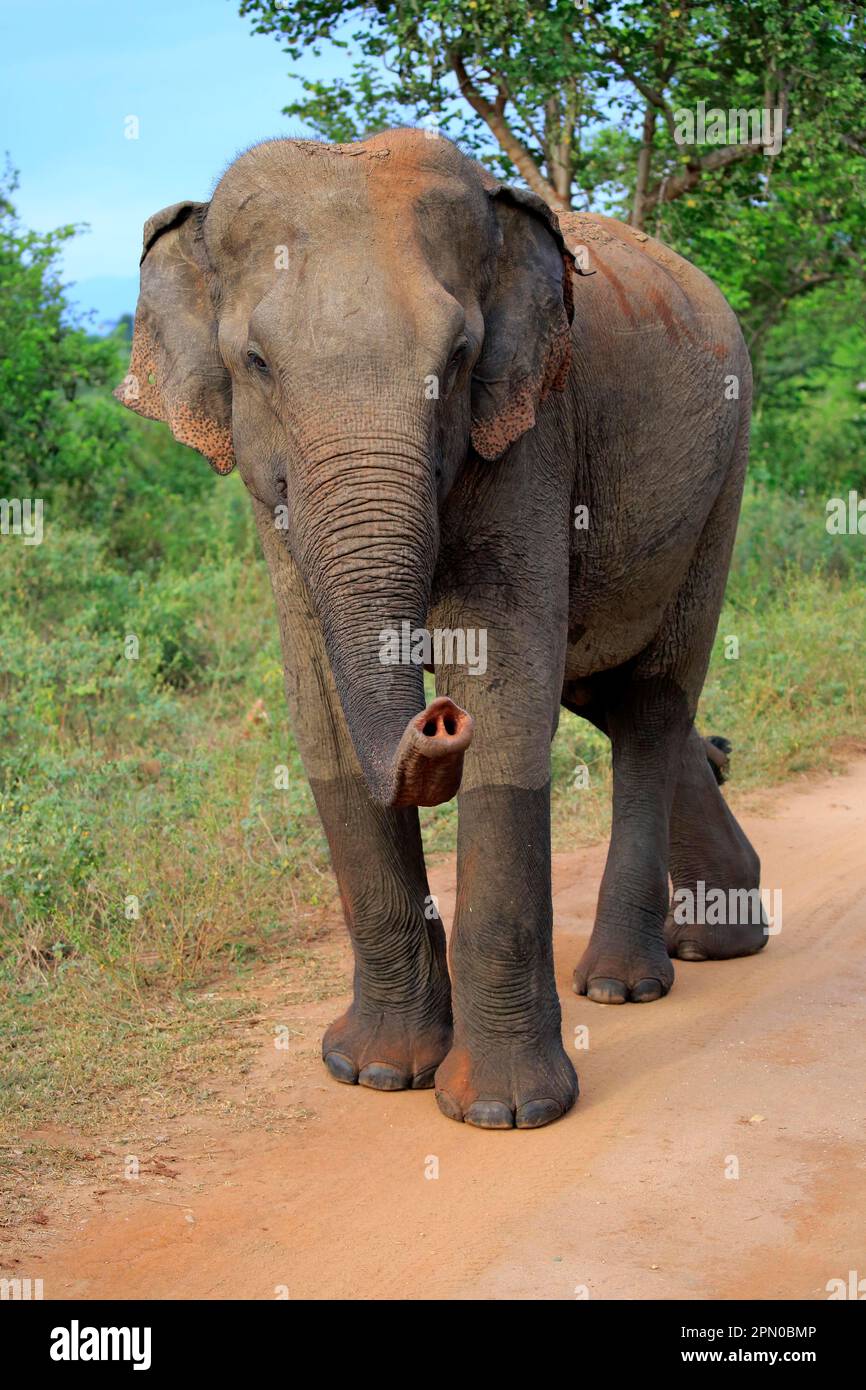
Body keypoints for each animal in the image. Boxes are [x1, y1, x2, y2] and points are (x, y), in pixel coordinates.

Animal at [116, 128, 766, 1131]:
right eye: (256, 362)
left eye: (459, 356)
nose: (435, 720)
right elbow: (322, 706)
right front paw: (375, 1073)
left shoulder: (535, 423)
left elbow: (505, 688)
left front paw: (502, 1113)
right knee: (608, 695)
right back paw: (711, 937)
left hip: (722, 477)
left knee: (651, 706)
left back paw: (624, 984)